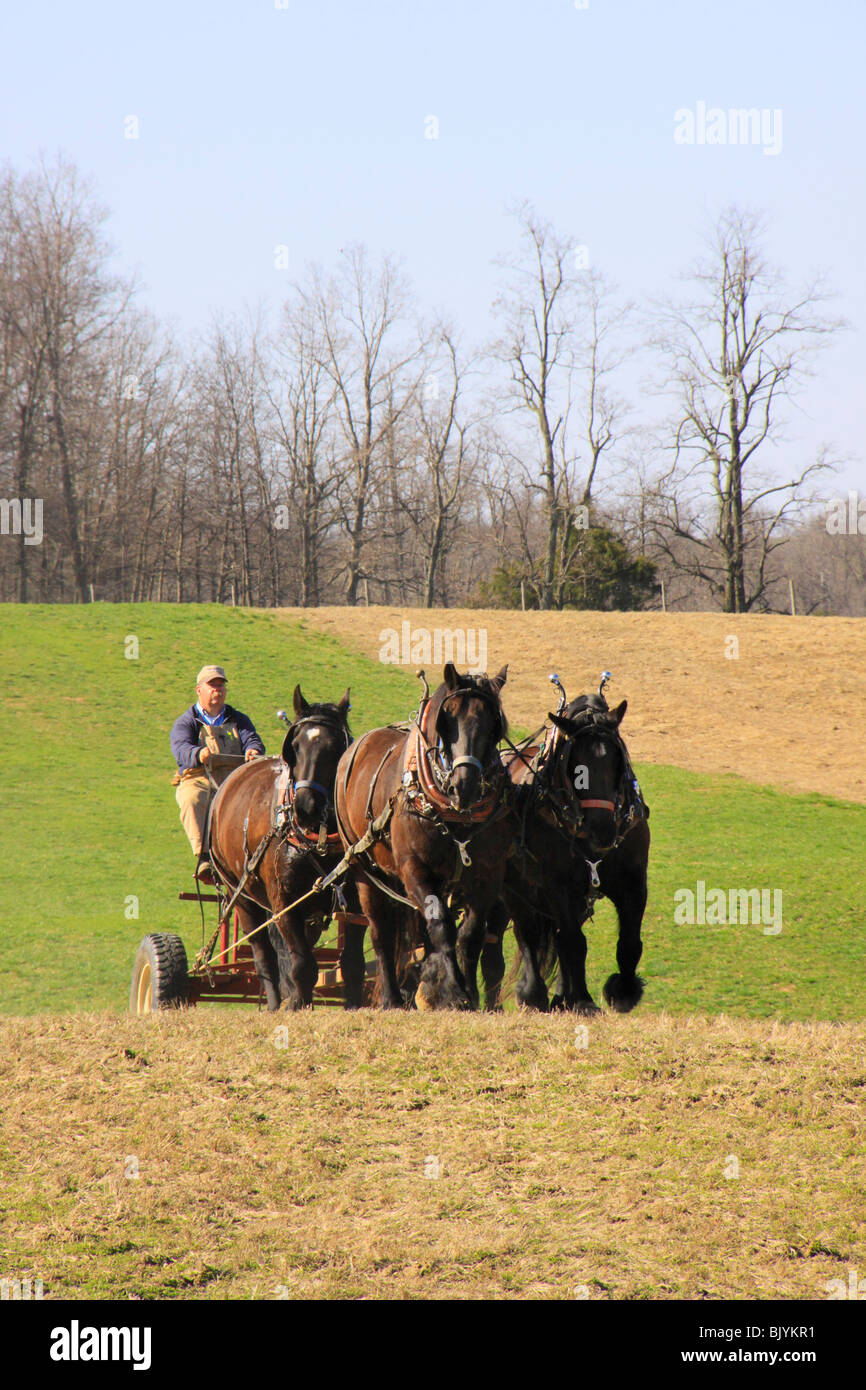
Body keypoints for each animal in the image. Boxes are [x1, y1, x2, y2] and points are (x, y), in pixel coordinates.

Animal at [207, 685, 356, 1010]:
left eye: (335, 747)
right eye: (296, 746)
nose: (306, 806)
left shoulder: (353, 899)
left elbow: (352, 963)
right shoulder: (283, 901)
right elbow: (302, 964)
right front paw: (296, 1003)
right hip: (241, 894)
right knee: (264, 955)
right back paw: (276, 1002)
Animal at [333, 663, 512, 1010]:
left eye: (493, 725)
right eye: (448, 719)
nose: (464, 785)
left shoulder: (488, 875)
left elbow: (469, 935)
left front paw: (467, 992)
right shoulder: (414, 869)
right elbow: (441, 926)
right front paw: (454, 990)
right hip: (365, 871)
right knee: (381, 933)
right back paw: (391, 997)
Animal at [480, 683, 650, 1015]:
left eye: (616, 760)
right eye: (575, 765)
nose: (602, 828)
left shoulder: (634, 882)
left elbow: (629, 943)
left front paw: (622, 992)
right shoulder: (558, 886)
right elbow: (573, 941)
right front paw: (582, 999)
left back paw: (560, 996)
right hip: (516, 890)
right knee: (526, 936)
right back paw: (532, 992)